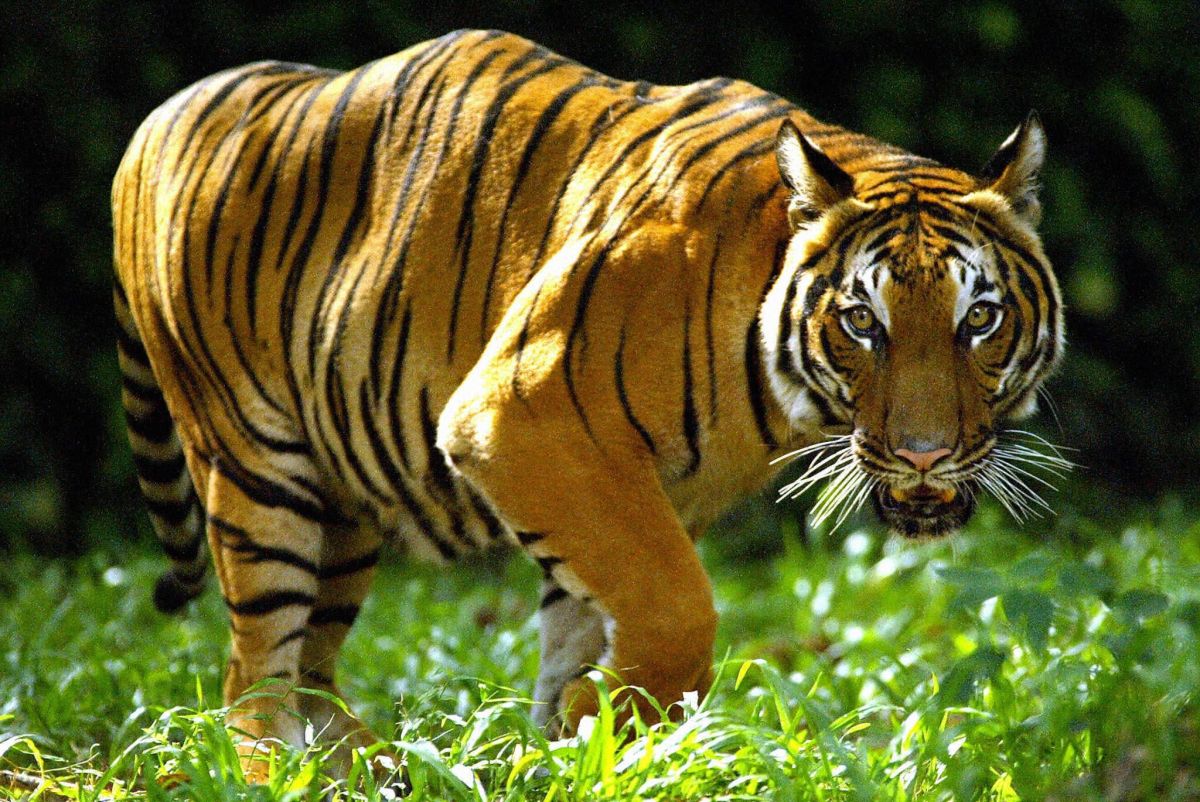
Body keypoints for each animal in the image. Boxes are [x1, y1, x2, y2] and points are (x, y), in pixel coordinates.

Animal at [111, 28, 1063, 776]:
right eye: (863, 321)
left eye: (979, 318)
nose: (923, 454)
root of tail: (161, 118)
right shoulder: (524, 416)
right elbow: (678, 610)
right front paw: (596, 720)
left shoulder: (632, 489)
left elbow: (596, 616)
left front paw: (569, 746)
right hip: (256, 474)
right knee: (252, 678)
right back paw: (286, 771)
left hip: (341, 508)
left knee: (310, 667)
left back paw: (370, 764)